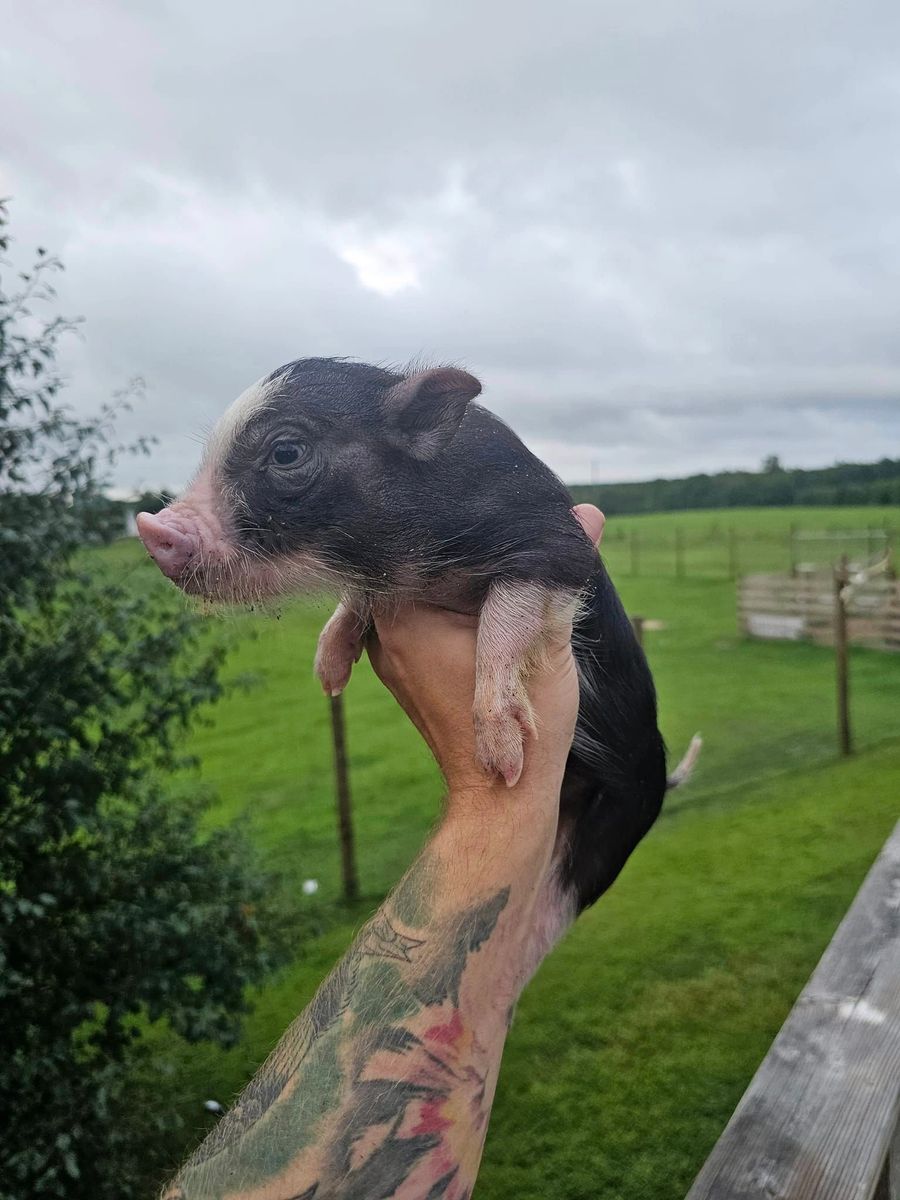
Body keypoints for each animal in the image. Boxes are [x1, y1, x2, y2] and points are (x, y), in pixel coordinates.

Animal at [137, 358, 699, 928]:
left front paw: (504, 760)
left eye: (287, 452)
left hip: (617, 822)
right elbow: (356, 598)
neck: (412, 560)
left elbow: (504, 617)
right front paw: (328, 674)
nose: (149, 528)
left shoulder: (559, 548)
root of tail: (659, 770)